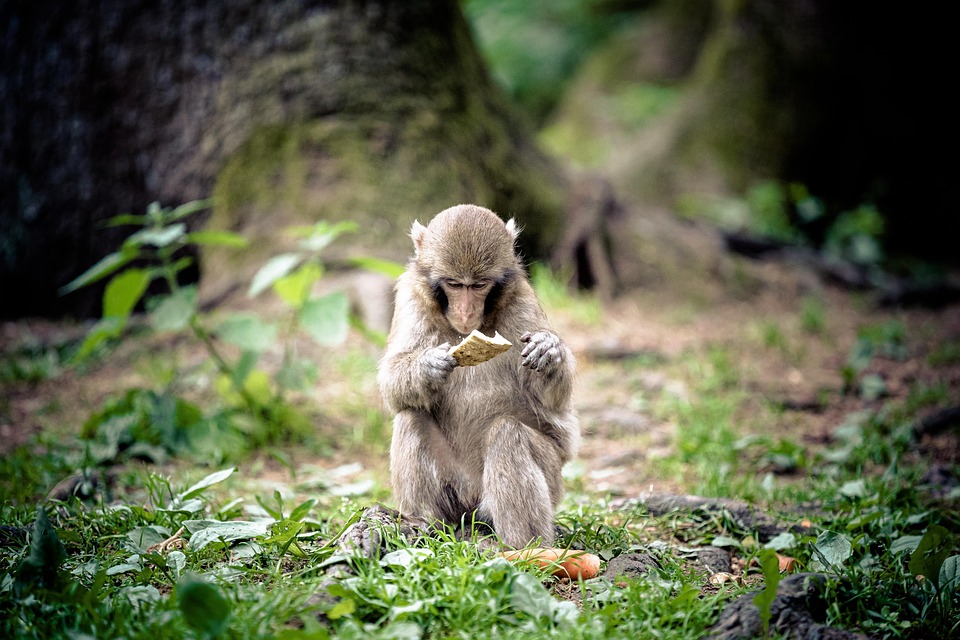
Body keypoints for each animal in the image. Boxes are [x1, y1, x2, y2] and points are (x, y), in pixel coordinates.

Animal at [377, 204, 578, 549]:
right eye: (456, 285)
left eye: (480, 284)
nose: (467, 312)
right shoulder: (411, 297)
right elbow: (392, 383)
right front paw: (429, 366)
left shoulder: (522, 300)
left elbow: (553, 403)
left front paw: (550, 351)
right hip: (456, 491)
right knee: (411, 416)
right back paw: (427, 525)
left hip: (551, 483)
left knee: (508, 434)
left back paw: (525, 548)